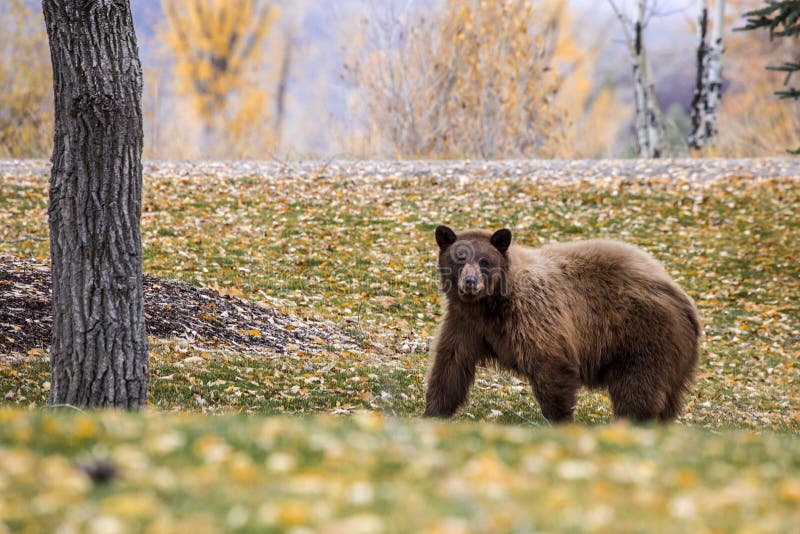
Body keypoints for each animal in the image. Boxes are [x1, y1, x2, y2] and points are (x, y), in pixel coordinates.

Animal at [423, 225, 701, 423]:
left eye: (484, 261)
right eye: (459, 259)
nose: (470, 282)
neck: (489, 305)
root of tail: (684, 300)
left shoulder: (531, 315)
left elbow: (550, 364)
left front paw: (558, 418)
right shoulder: (465, 323)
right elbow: (450, 364)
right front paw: (433, 411)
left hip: (641, 335)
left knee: (638, 386)